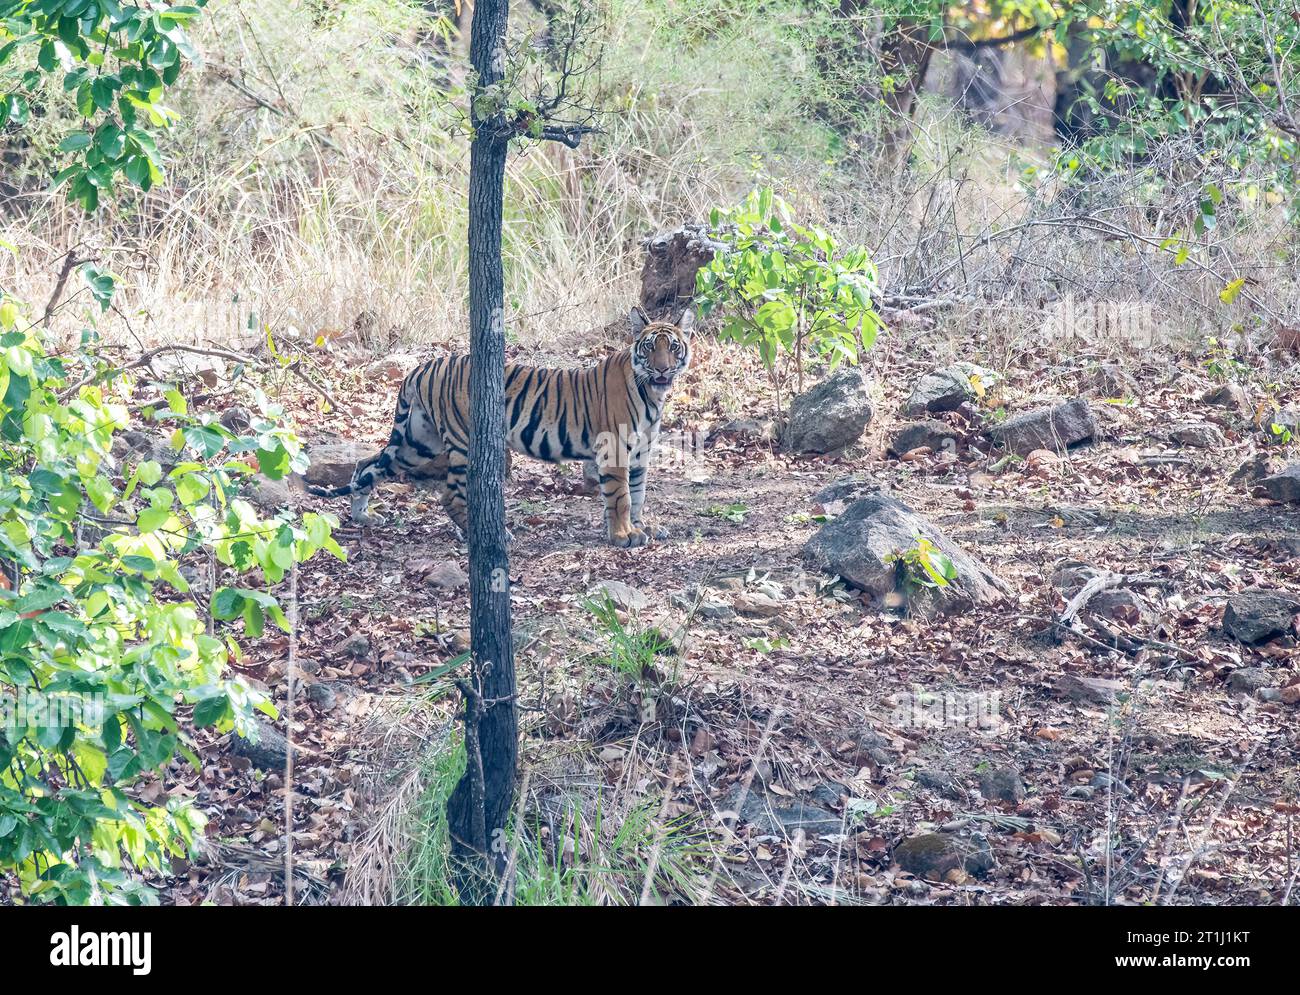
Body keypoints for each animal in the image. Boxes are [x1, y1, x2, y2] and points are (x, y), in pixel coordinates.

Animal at [306, 307, 693, 548]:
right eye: (650, 347)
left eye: (673, 347)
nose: (662, 369)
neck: (653, 394)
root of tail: (421, 367)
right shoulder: (614, 449)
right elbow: (621, 497)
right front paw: (623, 536)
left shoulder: (640, 452)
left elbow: (638, 495)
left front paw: (641, 529)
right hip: (460, 441)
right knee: (450, 494)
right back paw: (486, 537)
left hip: (418, 442)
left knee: (366, 464)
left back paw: (363, 516)